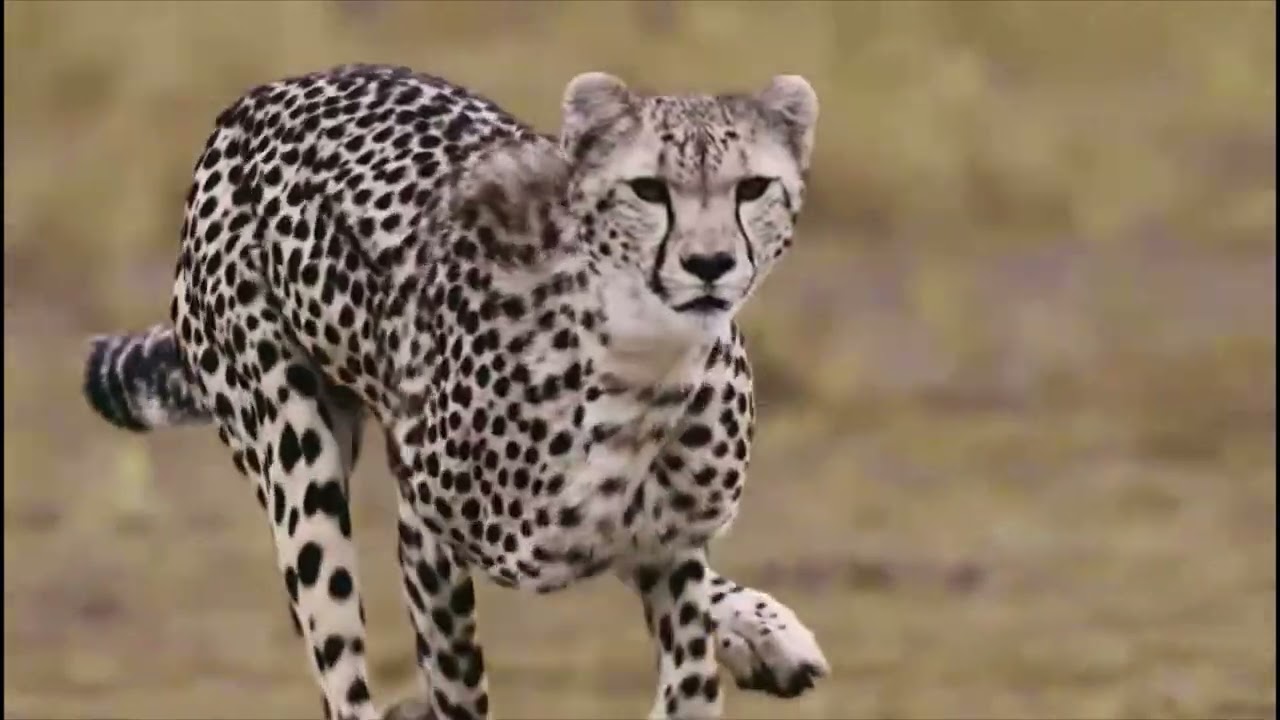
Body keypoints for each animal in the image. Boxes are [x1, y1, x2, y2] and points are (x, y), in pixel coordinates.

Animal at [81, 64, 826, 720]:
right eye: (648, 189)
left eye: (752, 188)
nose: (709, 264)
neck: (642, 375)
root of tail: (263, 96)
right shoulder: (426, 529)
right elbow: (456, 681)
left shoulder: (674, 540)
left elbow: (692, 673)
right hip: (294, 457)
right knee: (340, 672)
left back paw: (768, 632)